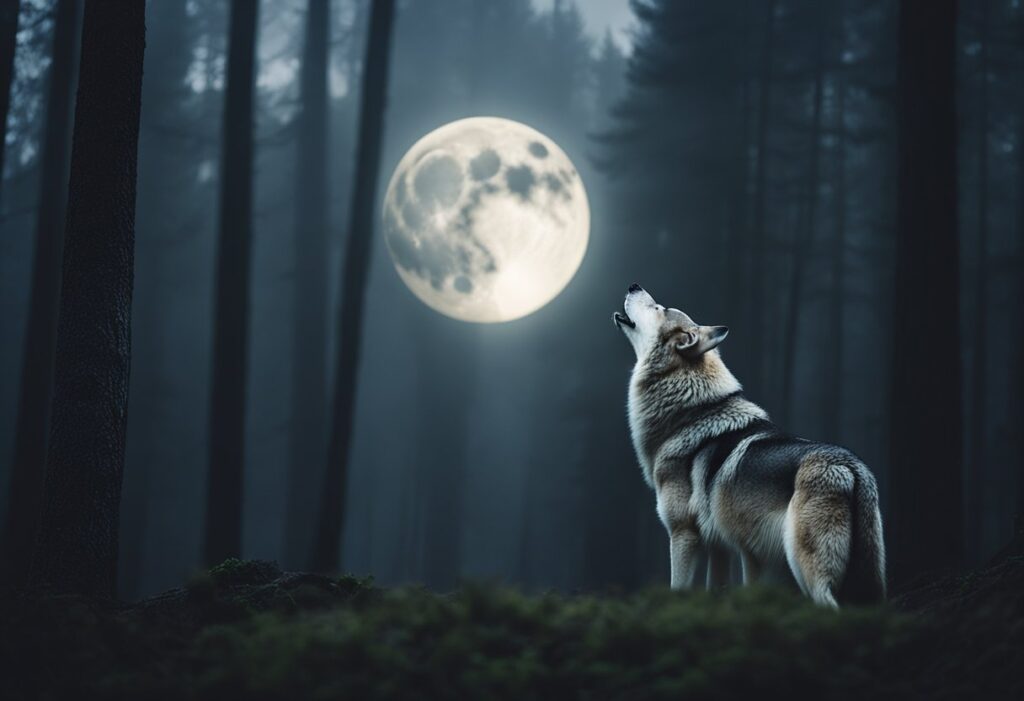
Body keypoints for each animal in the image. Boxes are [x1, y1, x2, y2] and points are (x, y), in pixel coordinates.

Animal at [613, 284, 885, 607]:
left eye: (660, 308)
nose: (634, 285)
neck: (691, 412)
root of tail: (852, 468)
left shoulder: (683, 534)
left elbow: (677, 590)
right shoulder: (719, 546)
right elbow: (716, 589)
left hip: (805, 570)